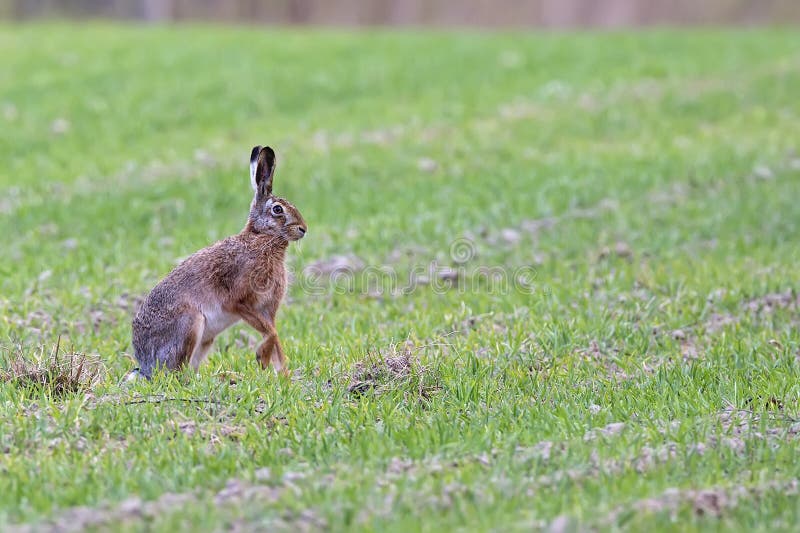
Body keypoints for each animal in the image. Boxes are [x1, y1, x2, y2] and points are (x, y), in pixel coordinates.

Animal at [129, 145, 307, 379]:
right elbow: (271, 333)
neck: (262, 239)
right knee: (177, 372)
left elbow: (275, 335)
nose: (303, 229)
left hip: (206, 338)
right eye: (277, 209)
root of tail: (145, 365)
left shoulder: (268, 310)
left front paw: (284, 374)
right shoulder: (239, 301)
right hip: (191, 323)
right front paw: (262, 359)